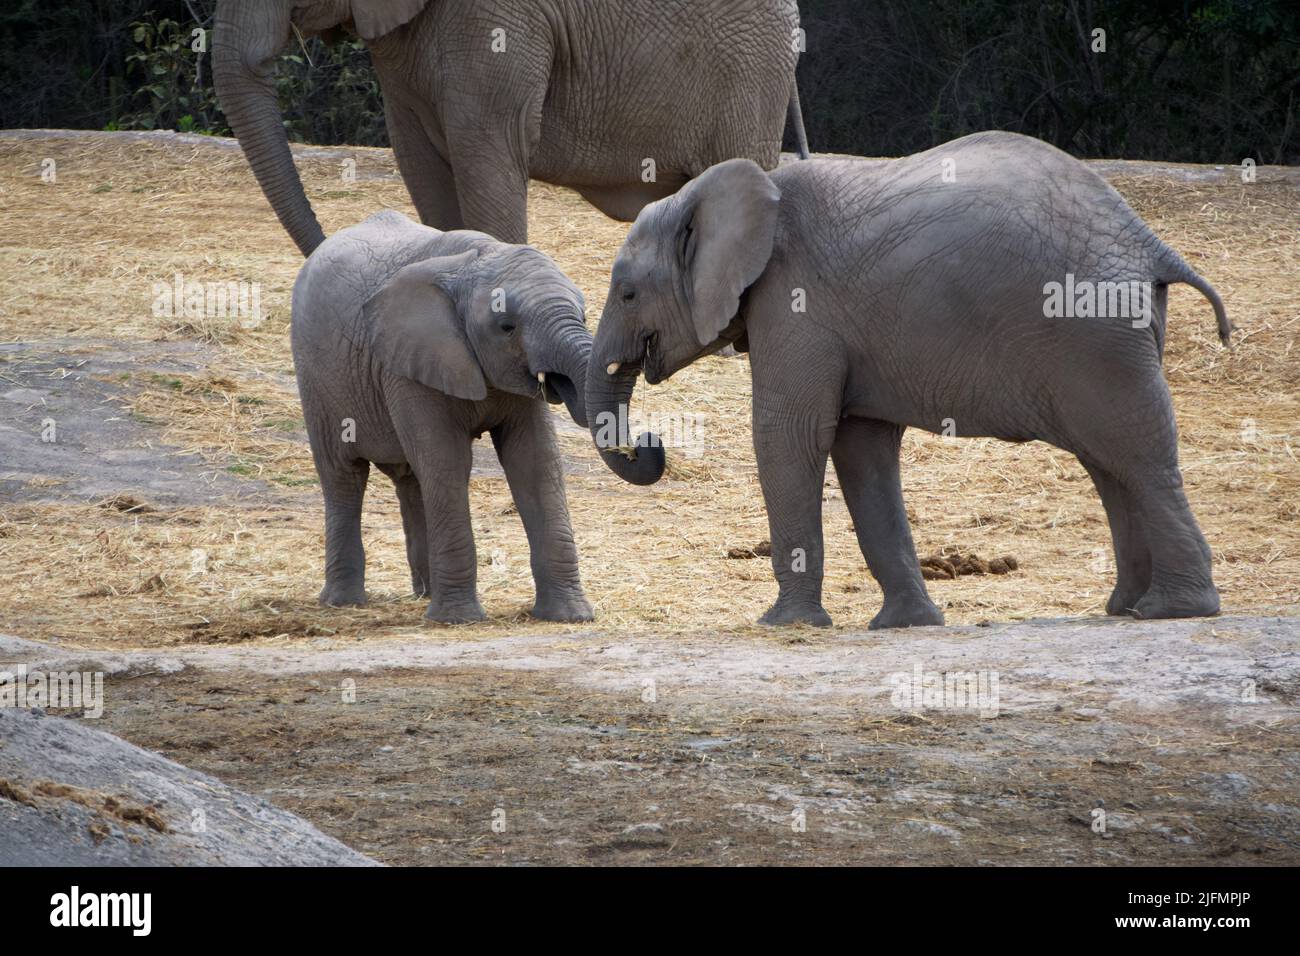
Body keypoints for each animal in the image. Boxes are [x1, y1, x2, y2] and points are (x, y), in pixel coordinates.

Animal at [292, 209, 594, 623]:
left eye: (584, 315)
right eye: (507, 327)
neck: (475, 261)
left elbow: (535, 461)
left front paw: (570, 616)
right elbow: (448, 460)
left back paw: (424, 595)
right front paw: (458, 620)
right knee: (344, 478)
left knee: (412, 479)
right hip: (317, 380)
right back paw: (344, 602)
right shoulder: (407, 362)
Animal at [585, 131, 1232, 629]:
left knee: (1136, 457)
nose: (649, 443)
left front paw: (784, 625)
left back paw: (1176, 611)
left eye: (628, 293)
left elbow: (789, 436)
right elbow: (862, 451)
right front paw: (906, 624)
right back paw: (1126, 608)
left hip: (1094, 334)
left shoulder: (796, 305)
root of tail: (1150, 244)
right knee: (1109, 463)